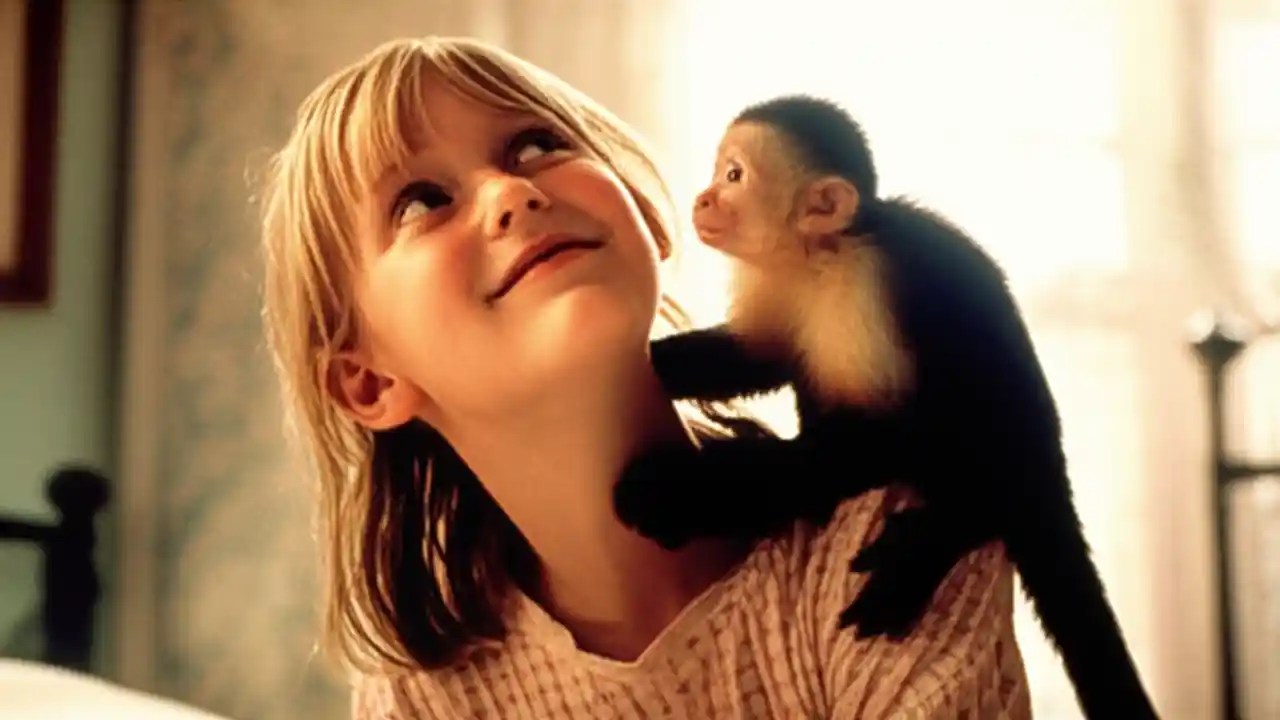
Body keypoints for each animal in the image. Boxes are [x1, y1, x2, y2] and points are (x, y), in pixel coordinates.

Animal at [612, 95, 1158, 719]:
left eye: (734, 175)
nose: (703, 199)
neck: (819, 259)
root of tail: (1046, 464)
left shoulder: (866, 286)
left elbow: (889, 432)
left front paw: (682, 489)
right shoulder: (778, 281)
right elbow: (760, 358)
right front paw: (657, 361)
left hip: (1008, 445)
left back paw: (942, 531)